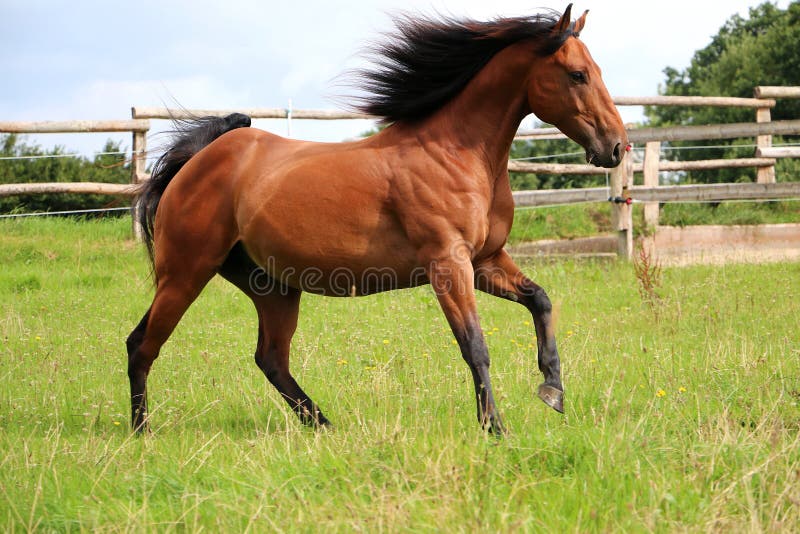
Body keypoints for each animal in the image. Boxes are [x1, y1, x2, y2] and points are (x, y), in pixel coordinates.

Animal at [128, 4, 627, 434]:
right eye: (578, 74)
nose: (616, 147)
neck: (457, 153)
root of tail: (196, 161)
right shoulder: (448, 265)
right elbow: (475, 345)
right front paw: (495, 428)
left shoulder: (485, 260)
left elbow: (540, 300)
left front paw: (552, 390)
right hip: (186, 273)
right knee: (142, 344)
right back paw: (141, 432)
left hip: (271, 288)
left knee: (270, 358)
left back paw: (325, 426)